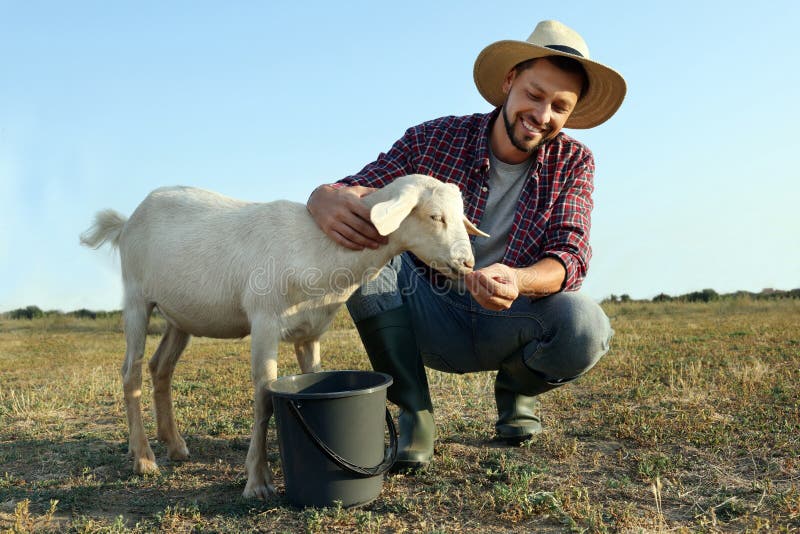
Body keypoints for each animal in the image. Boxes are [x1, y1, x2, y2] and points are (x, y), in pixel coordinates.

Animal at [80, 174, 488, 499]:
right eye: (434, 216)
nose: (466, 263)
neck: (318, 249)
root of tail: (126, 222)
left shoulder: (310, 333)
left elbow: (313, 379)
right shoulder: (264, 322)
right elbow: (264, 400)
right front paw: (258, 482)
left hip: (180, 317)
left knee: (159, 367)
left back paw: (175, 445)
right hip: (136, 299)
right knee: (130, 373)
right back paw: (143, 458)